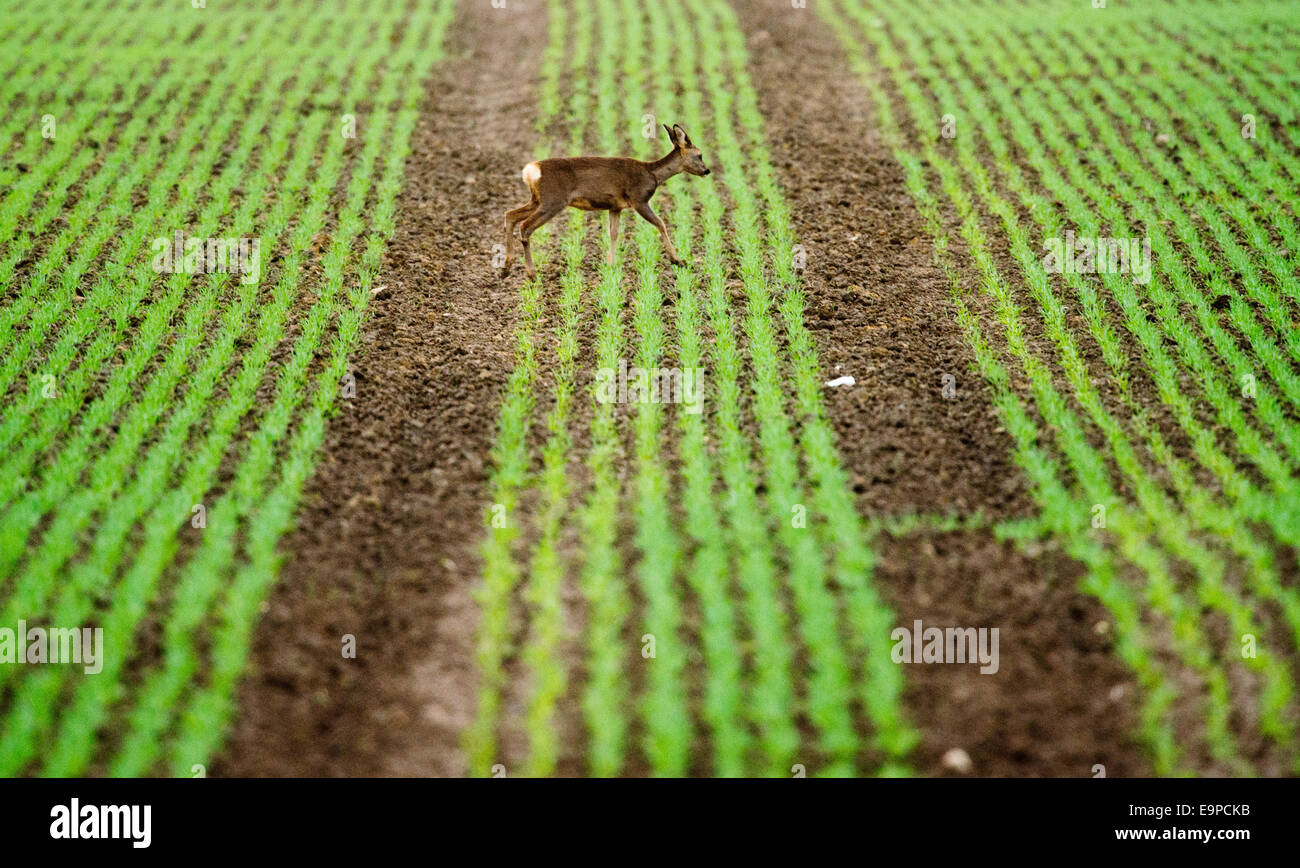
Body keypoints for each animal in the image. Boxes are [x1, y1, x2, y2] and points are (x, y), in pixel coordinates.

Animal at [503, 123, 711, 278]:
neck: (653, 175)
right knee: (525, 226)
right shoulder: (639, 199)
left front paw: (610, 265)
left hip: (537, 199)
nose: (707, 170)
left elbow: (613, 233)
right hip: (552, 200)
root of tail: (530, 171)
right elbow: (660, 223)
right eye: (699, 155)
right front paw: (678, 261)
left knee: (510, 214)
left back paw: (507, 267)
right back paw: (531, 274)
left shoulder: (615, 206)